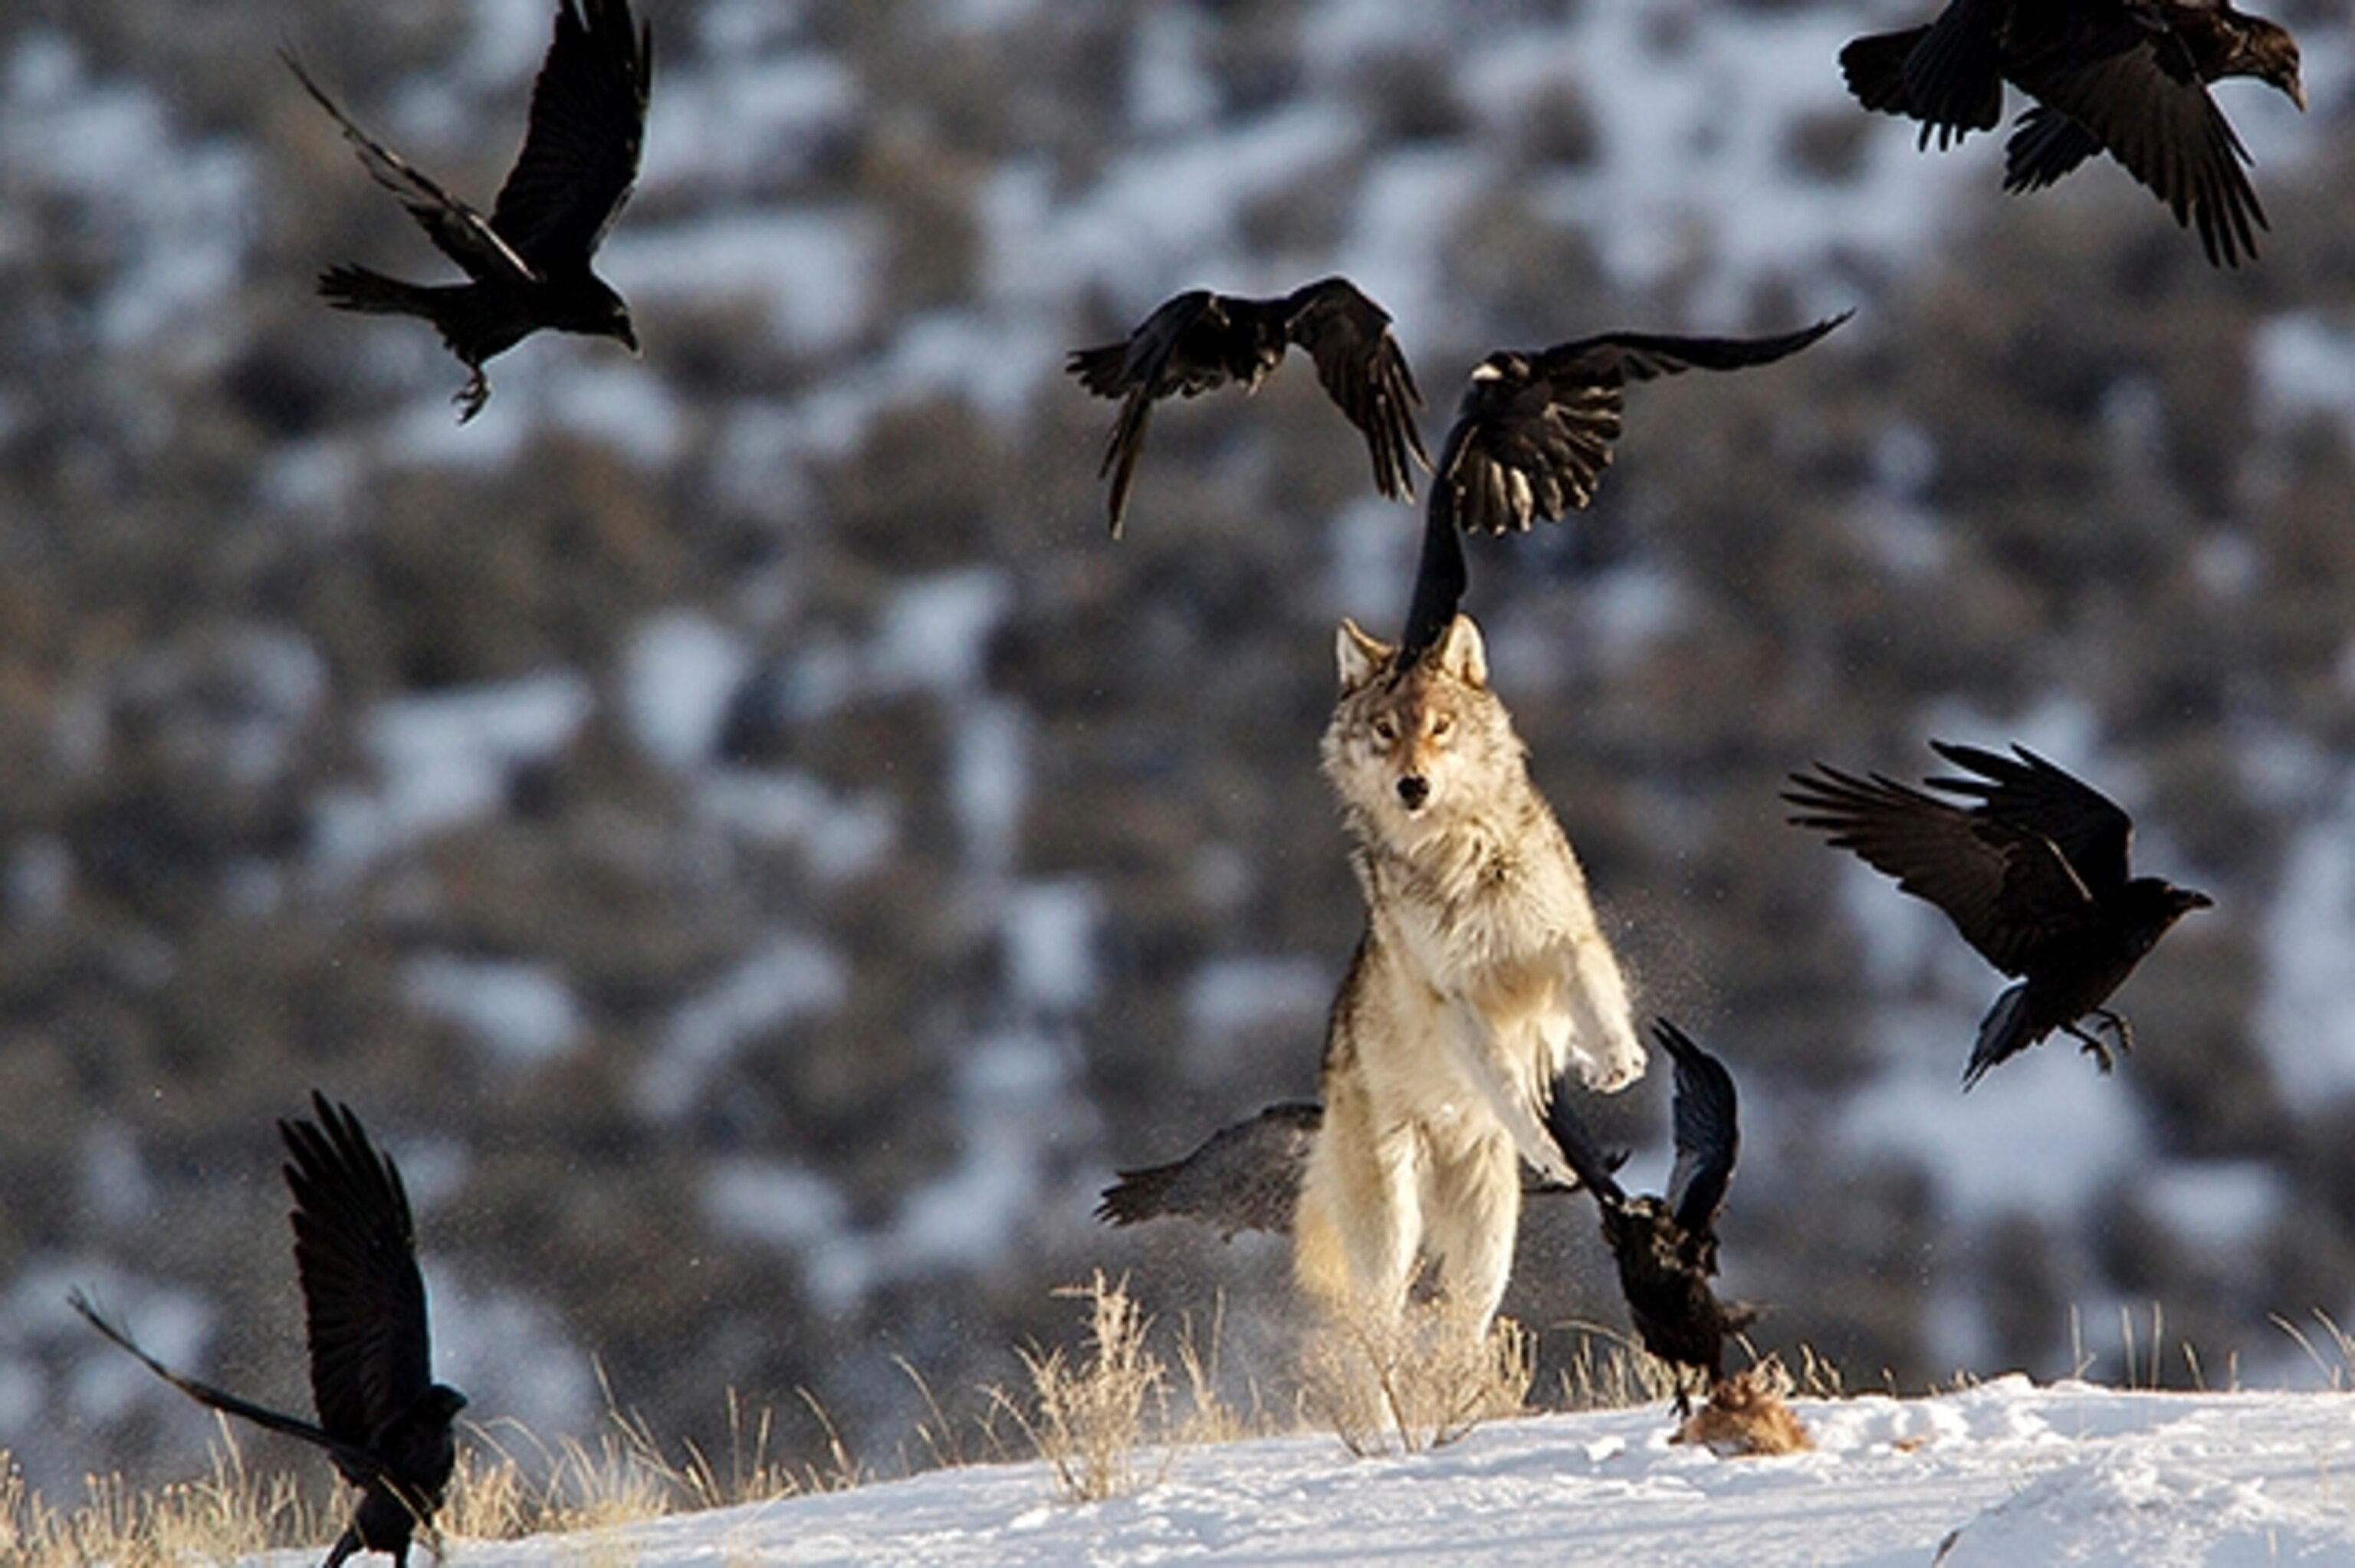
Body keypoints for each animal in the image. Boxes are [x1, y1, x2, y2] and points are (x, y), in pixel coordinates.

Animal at [1294, 614, 1648, 1334]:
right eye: (1385, 730)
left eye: (1440, 726)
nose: (1413, 786)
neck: (1462, 855)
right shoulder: (1456, 1003)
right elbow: (1507, 1084)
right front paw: (1546, 1145)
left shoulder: (1564, 939)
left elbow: (1595, 995)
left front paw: (1616, 1060)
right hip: (1391, 1232)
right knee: (1378, 1326)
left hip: (1486, 1251)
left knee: (1464, 1322)